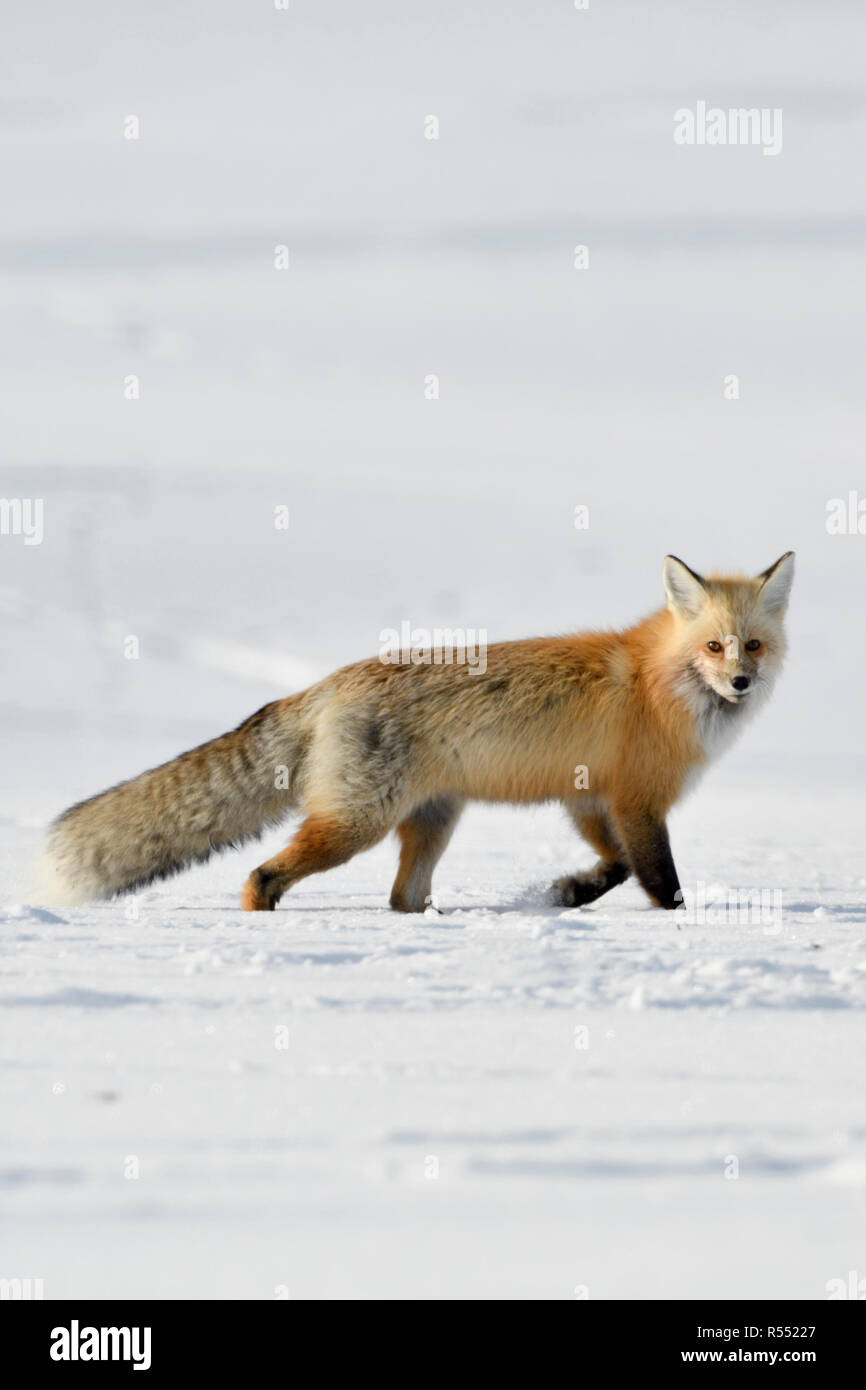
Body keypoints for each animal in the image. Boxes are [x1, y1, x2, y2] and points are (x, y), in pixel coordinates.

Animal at [44, 552, 794, 914]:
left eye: (753, 646)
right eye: (714, 647)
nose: (740, 684)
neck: (656, 681)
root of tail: (326, 684)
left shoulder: (589, 799)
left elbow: (615, 868)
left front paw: (567, 893)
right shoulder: (637, 800)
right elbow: (657, 878)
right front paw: (677, 922)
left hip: (433, 820)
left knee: (402, 898)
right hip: (356, 824)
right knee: (262, 873)